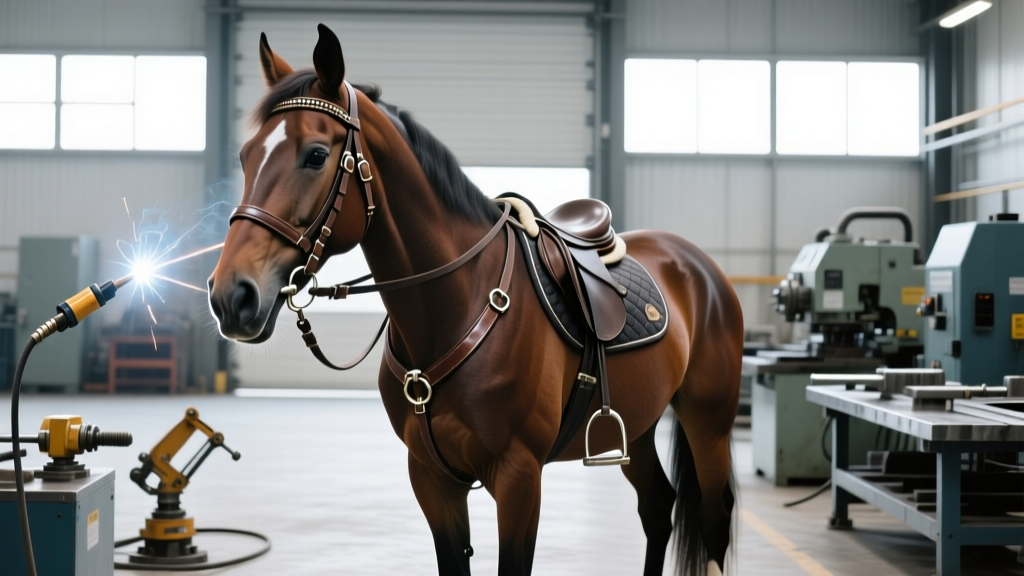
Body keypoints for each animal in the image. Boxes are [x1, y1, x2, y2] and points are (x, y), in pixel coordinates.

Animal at [208, 24, 742, 576]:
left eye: (315, 154)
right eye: (246, 156)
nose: (232, 295)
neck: (458, 303)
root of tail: (696, 265)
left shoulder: (519, 477)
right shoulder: (431, 478)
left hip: (708, 421)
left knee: (713, 517)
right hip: (639, 424)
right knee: (658, 508)